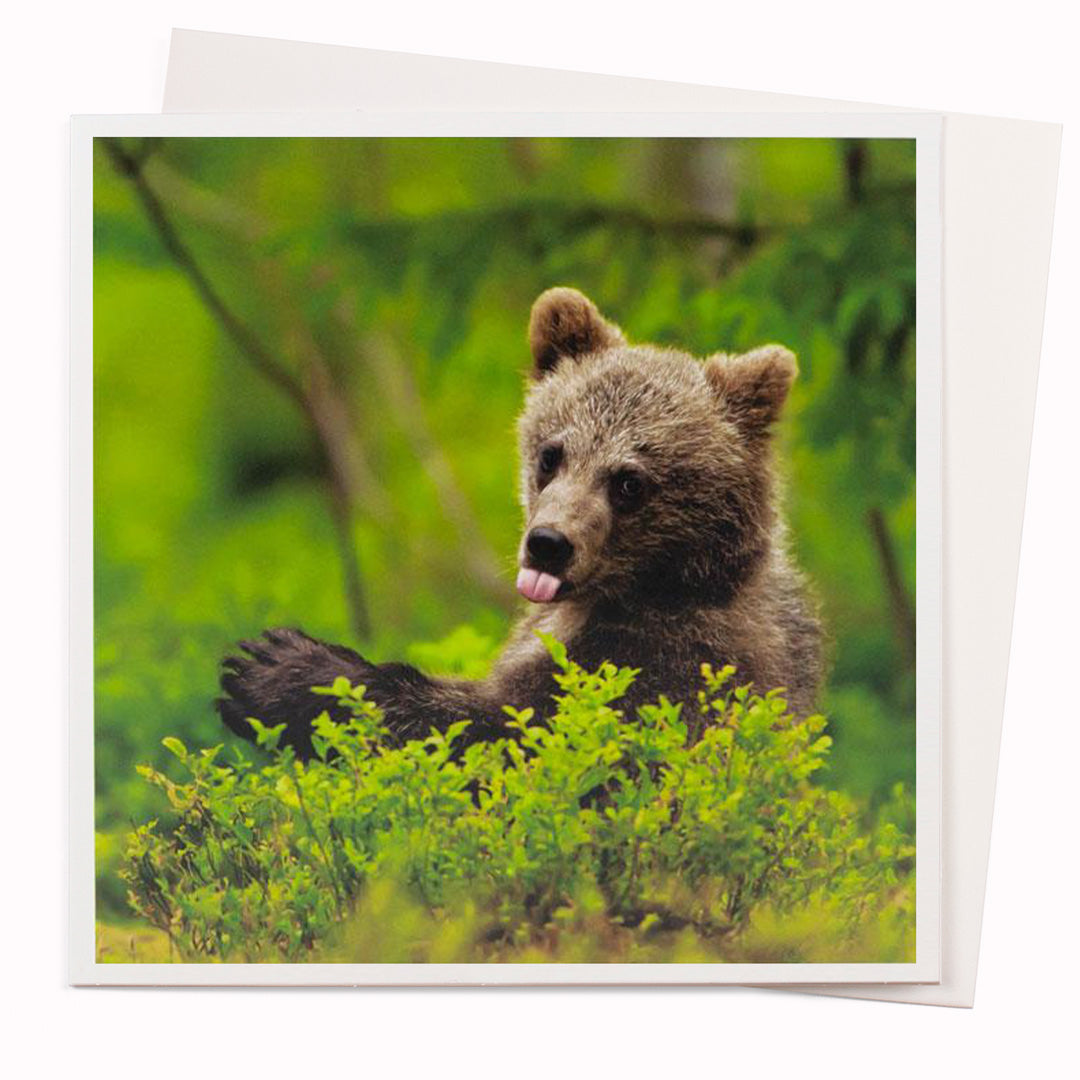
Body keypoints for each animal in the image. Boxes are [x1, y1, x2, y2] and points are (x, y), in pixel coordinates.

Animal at [218, 287, 823, 758]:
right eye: (552, 454)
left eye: (629, 480)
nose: (548, 543)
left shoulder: (669, 668)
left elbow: (503, 734)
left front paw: (275, 668)